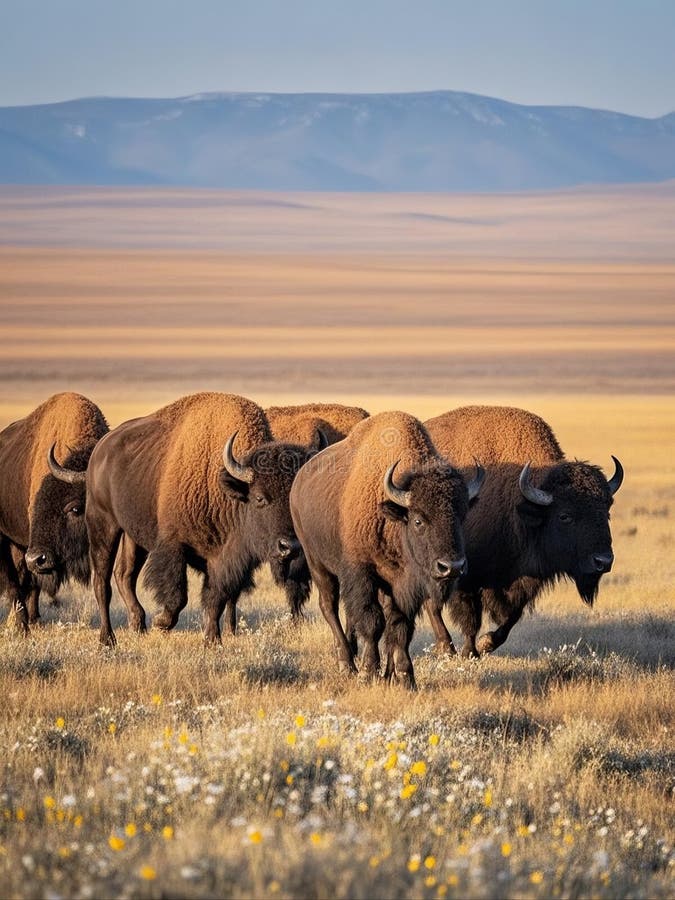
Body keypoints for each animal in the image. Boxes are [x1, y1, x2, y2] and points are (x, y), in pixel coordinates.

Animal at [0, 392, 108, 632]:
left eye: (75, 508)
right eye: (34, 506)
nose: (36, 559)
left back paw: (32, 620)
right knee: (14, 580)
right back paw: (21, 625)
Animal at [82, 392, 314, 646]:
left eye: (294, 498)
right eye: (260, 498)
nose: (290, 547)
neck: (225, 490)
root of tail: (101, 448)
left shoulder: (227, 561)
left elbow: (217, 598)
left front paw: (212, 639)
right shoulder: (173, 547)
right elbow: (178, 596)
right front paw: (161, 623)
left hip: (133, 535)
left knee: (125, 574)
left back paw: (138, 625)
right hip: (102, 523)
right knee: (102, 581)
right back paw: (108, 638)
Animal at [290, 412, 483, 688]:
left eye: (462, 516)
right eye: (418, 520)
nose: (452, 567)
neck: (394, 518)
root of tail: (299, 480)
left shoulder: (402, 586)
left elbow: (399, 626)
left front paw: (403, 676)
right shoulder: (361, 574)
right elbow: (373, 622)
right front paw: (369, 672)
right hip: (317, 562)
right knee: (329, 606)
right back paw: (346, 664)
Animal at [424, 405, 624, 656]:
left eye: (606, 512)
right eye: (565, 516)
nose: (603, 561)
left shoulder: (522, 581)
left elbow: (511, 616)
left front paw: (486, 644)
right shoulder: (465, 575)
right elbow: (470, 619)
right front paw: (470, 651)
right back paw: (446, 647)